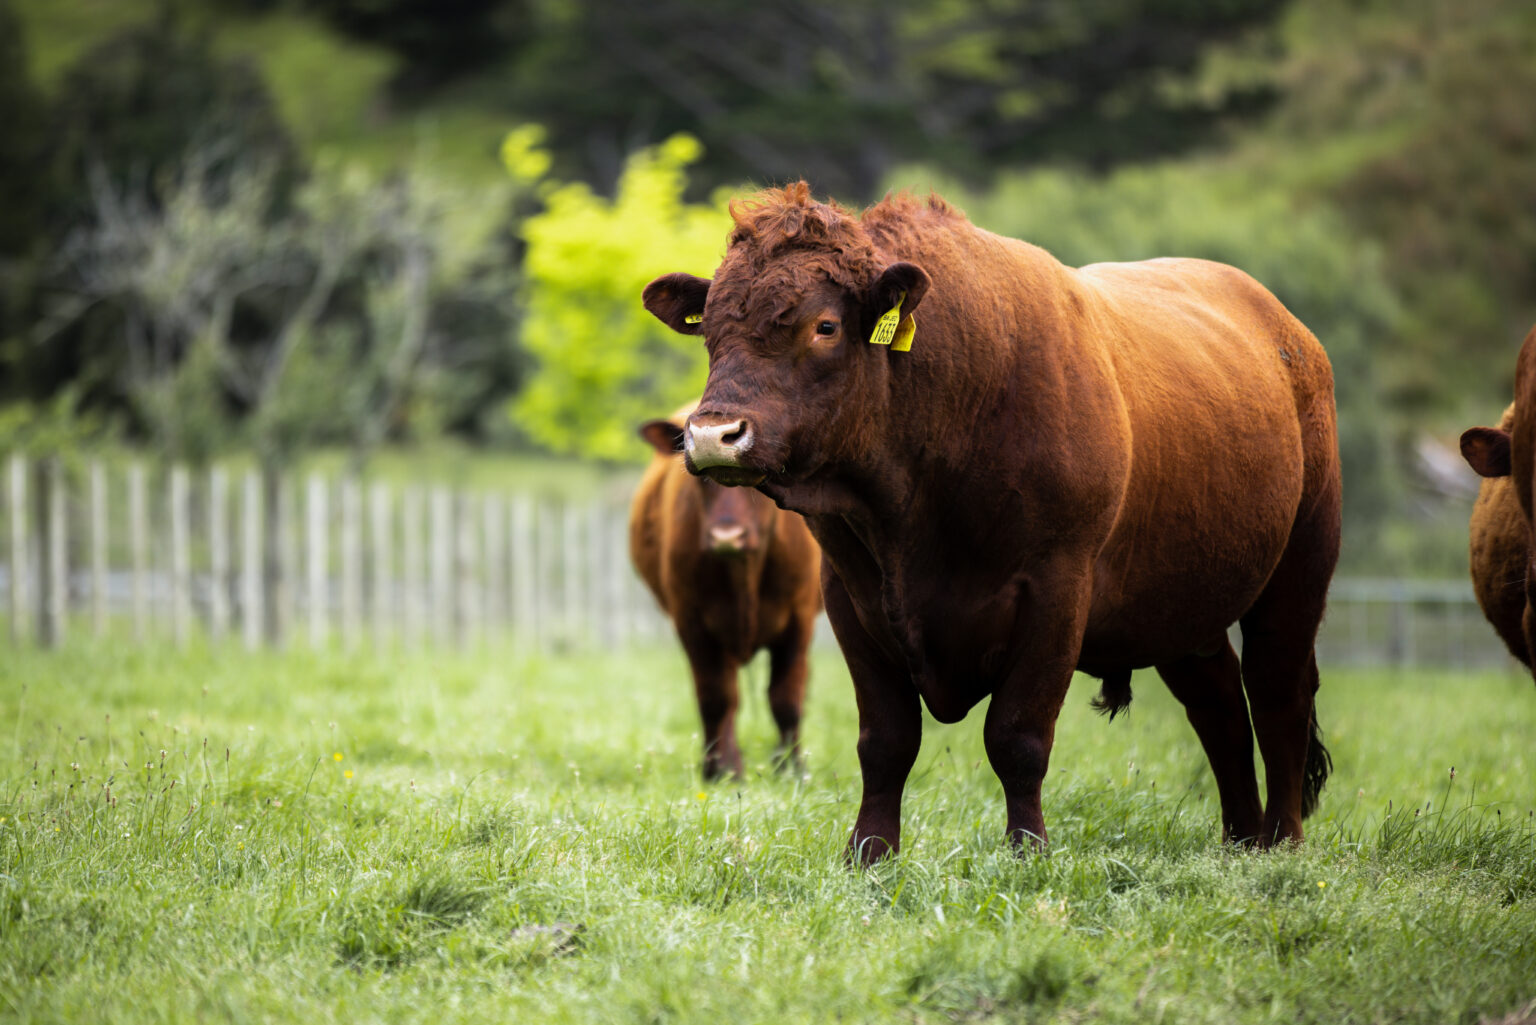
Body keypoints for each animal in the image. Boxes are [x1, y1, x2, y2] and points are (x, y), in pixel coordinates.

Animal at [629, 404, 823, 780]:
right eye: (699, 475)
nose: (727, 537)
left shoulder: (800, 617)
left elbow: (786, 698)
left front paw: (791, 769)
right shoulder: (691, 620)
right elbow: (715, 697)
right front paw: (720, 770)